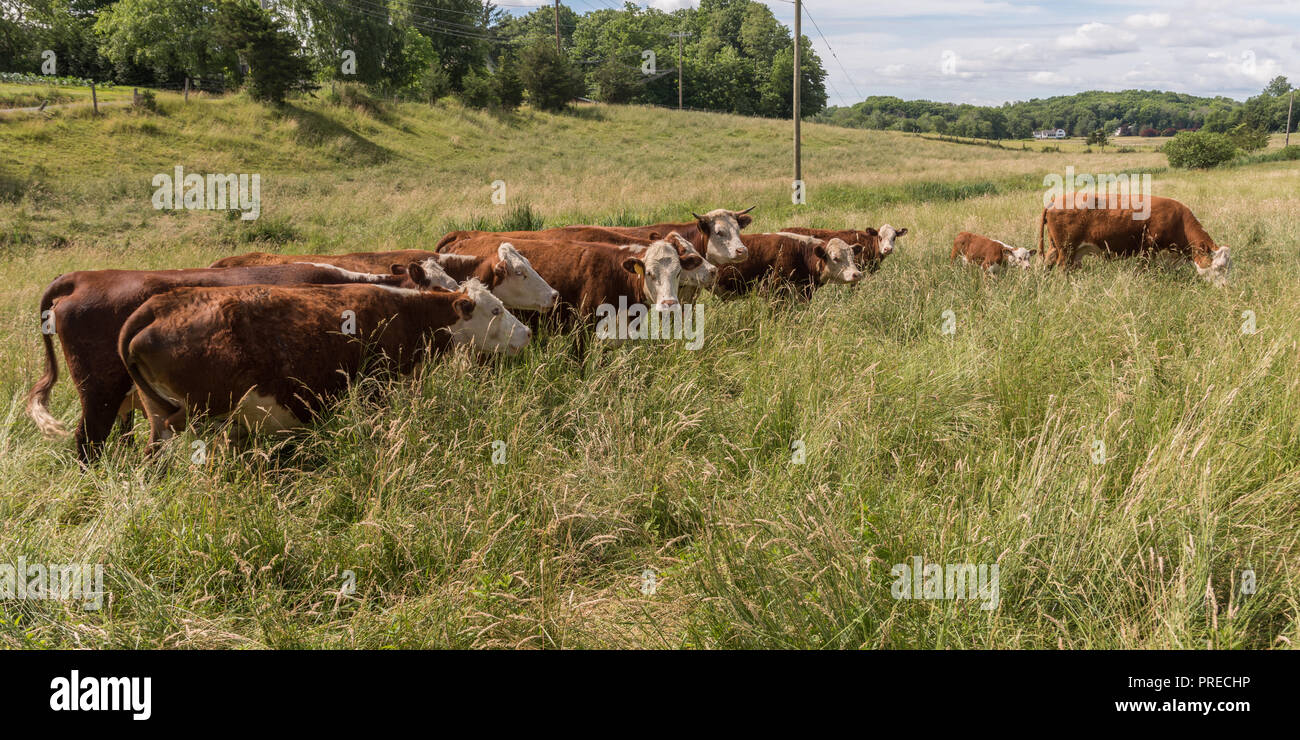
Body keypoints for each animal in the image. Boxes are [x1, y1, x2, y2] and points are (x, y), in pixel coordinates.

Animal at [120, 278, 528, 450]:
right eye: (496, 309)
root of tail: (159, 306)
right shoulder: (374, 390)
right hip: (199, 410)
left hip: (158, 412)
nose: (525, 333)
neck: (407, 313)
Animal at [1038, 195, 1231, 285]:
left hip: (1056, 248)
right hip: (1066, 250)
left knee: (1047, 264)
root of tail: (1055, 200)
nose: (1225, 287)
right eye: (1219, 267)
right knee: (1061, 269)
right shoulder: (1148, 250)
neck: (1179, 221)